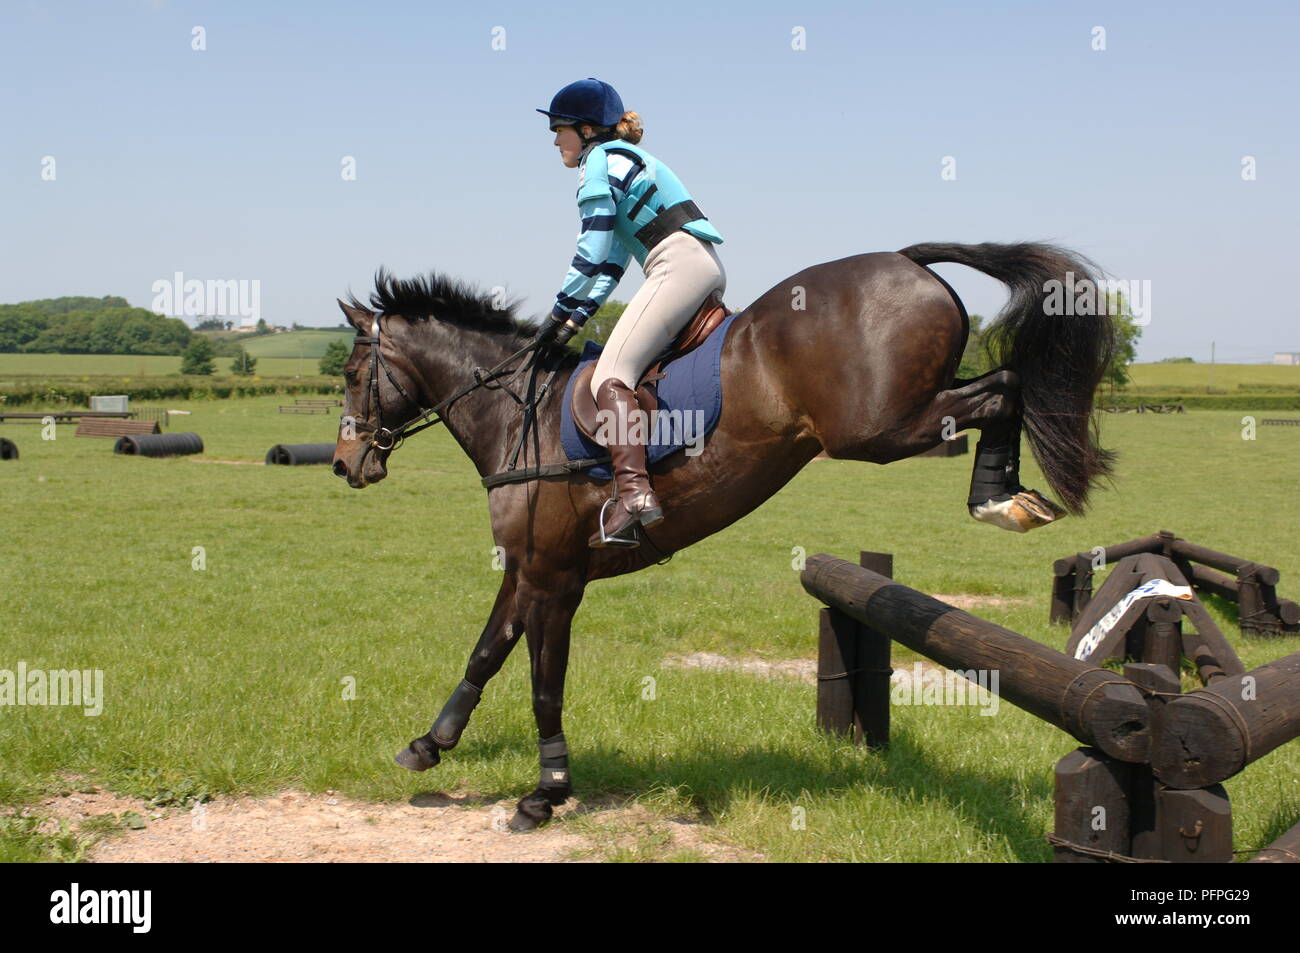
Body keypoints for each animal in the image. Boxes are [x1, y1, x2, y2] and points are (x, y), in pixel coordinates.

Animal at [330, 241, 1116, 831]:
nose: (344, 463)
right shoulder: (528, 568)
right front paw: (429, 743)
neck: (514, 412)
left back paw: (995, 496)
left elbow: (543, 684)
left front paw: (544, 793)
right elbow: (486, 653)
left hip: (879, 428)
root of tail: (904, 258)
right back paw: (1003, 496)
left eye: (352, 372)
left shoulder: (553, 579)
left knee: (1004, 387)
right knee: (1002, 383)